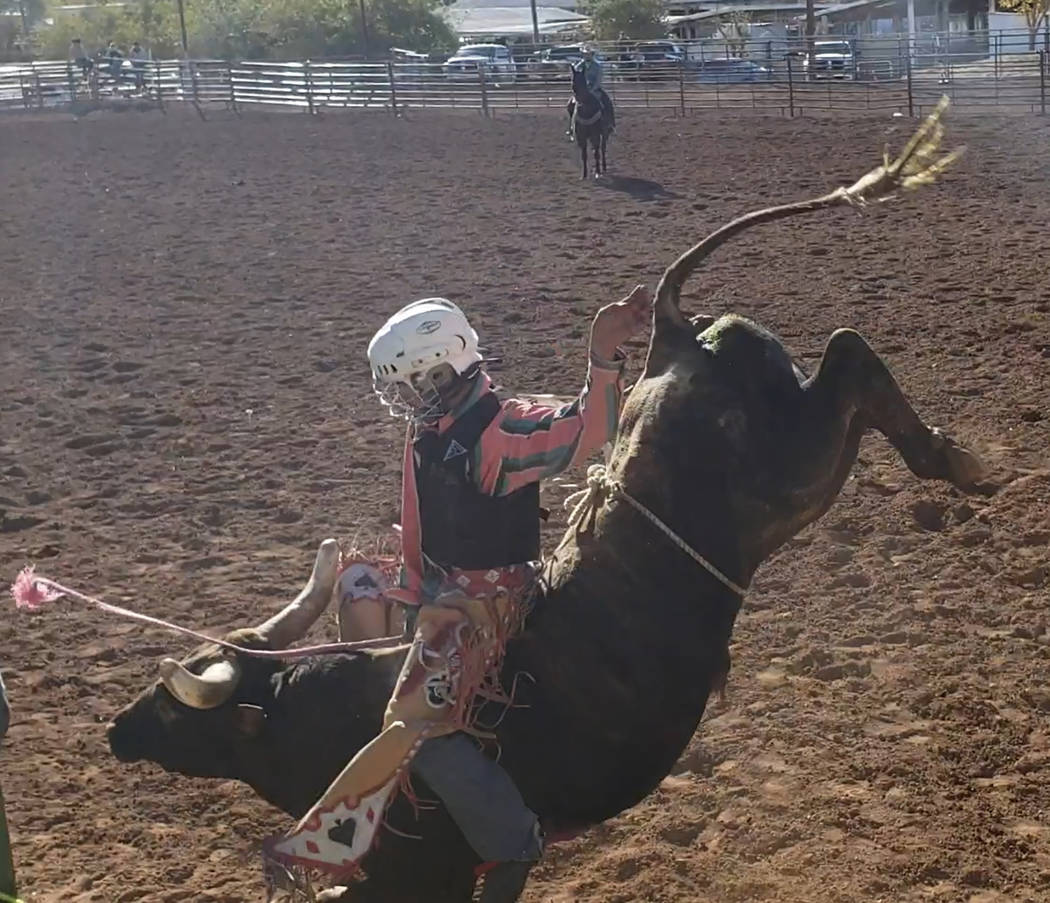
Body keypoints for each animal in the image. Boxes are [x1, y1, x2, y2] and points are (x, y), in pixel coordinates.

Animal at [107, 101, 985, 902]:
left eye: (176, 709)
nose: (117, 730)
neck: (312, 715)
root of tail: (677, 339)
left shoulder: (417, 872)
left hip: (791, 465)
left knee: (849, 354)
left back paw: (959, 459)